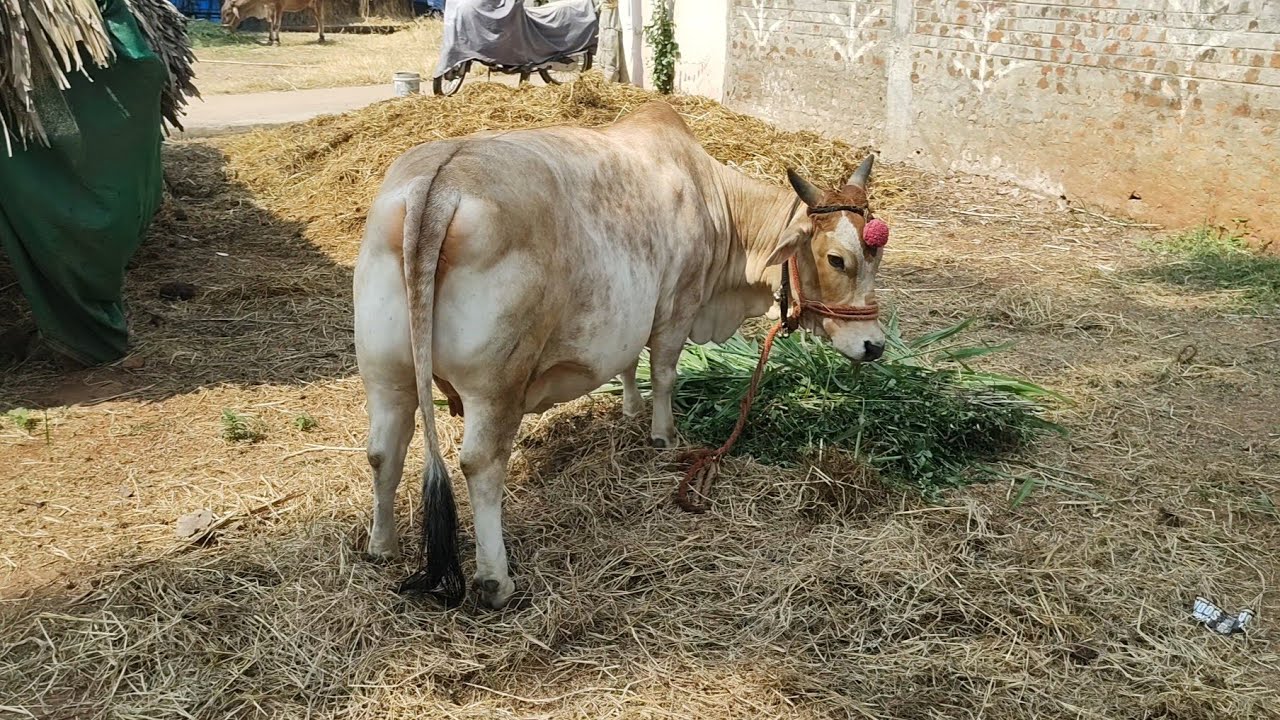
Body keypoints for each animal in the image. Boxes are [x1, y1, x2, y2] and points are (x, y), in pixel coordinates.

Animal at [353, 101, 888, 609]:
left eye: (877, 253)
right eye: (837, 259)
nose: (875, 344)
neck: (715, 201)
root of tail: (440, 183)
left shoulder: (639, 313)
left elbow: (632, 363)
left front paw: (631, 410)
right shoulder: (676, 306)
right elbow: (665, 373)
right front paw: (663, 436)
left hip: (384, 373)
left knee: (383, 451)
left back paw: (382, 546)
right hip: (494, 387)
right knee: (481, 465)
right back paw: (496, 582)